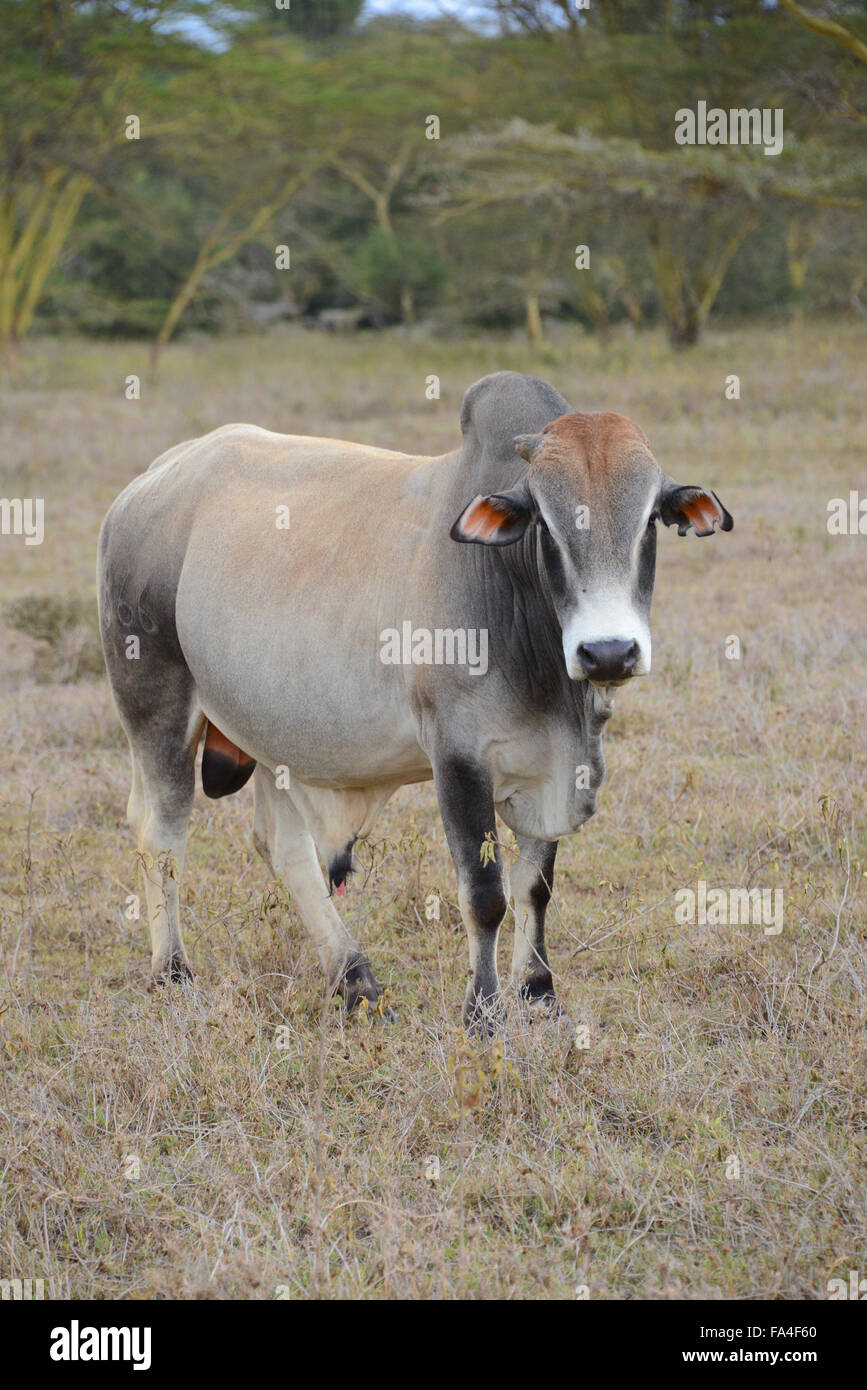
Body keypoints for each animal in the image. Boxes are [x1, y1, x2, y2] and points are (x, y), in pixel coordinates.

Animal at [98, 371, 732, 1028]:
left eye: (649, 522)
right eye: (547, 528)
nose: (608, 653)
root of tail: (148, 483)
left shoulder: (553, 763)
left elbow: (536, 885)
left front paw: (538, 990)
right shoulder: (458, 755)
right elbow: (484, 894)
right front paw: (483, 1011)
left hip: (273, 735)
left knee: (284, 847)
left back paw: (354, 977)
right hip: (156, 702)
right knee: (161, 832)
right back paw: (173, 971)